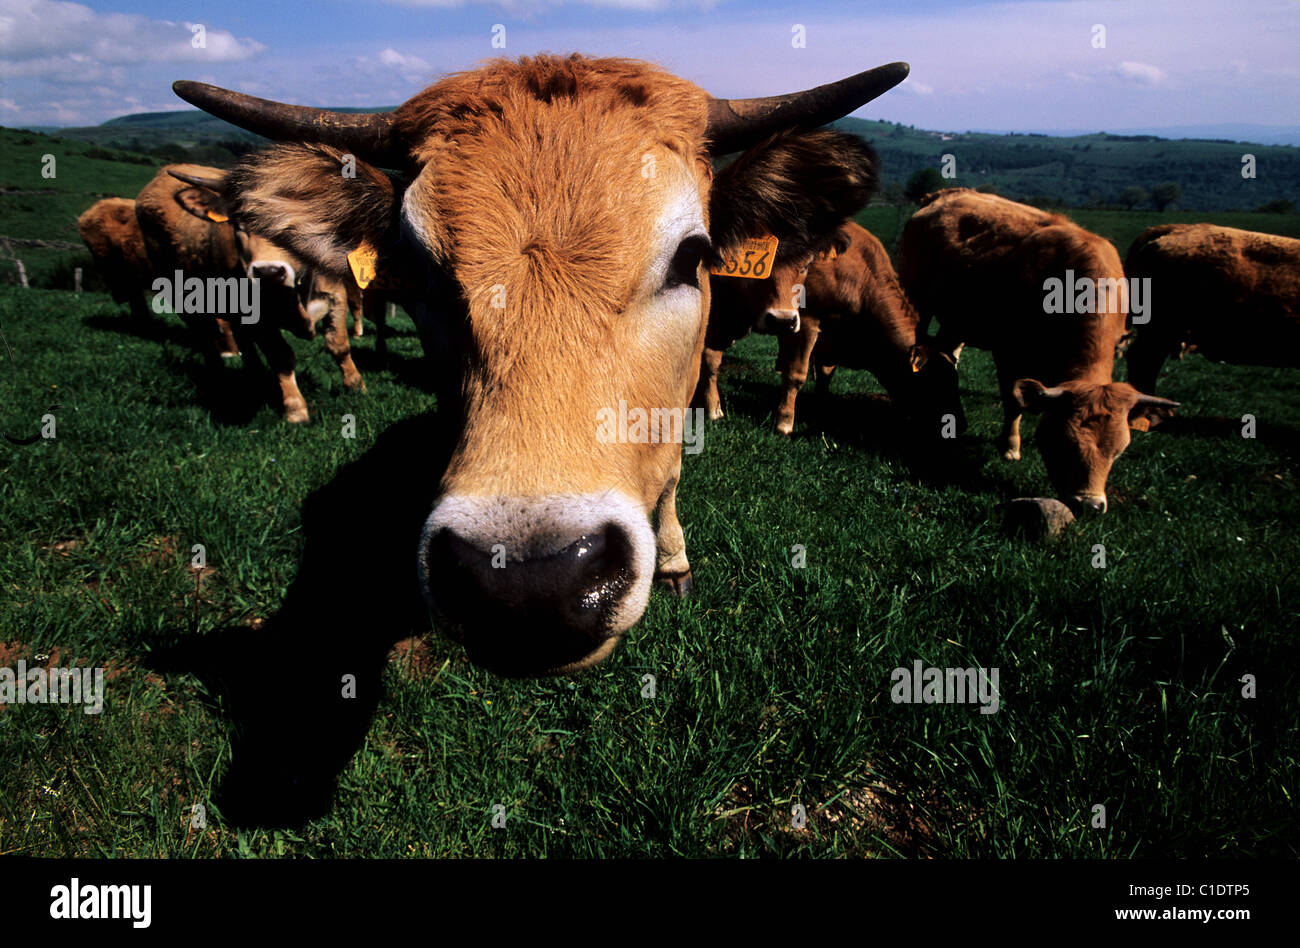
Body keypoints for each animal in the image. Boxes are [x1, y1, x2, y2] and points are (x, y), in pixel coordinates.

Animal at [898, 188, 1179, 513]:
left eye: (1118, 451)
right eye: (1065, 443)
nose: (1089, 505)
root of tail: (942, 196)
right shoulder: (1009, 353)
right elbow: (1014, 402)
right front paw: (1010, 448)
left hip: (957, 320)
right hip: (917, 299)